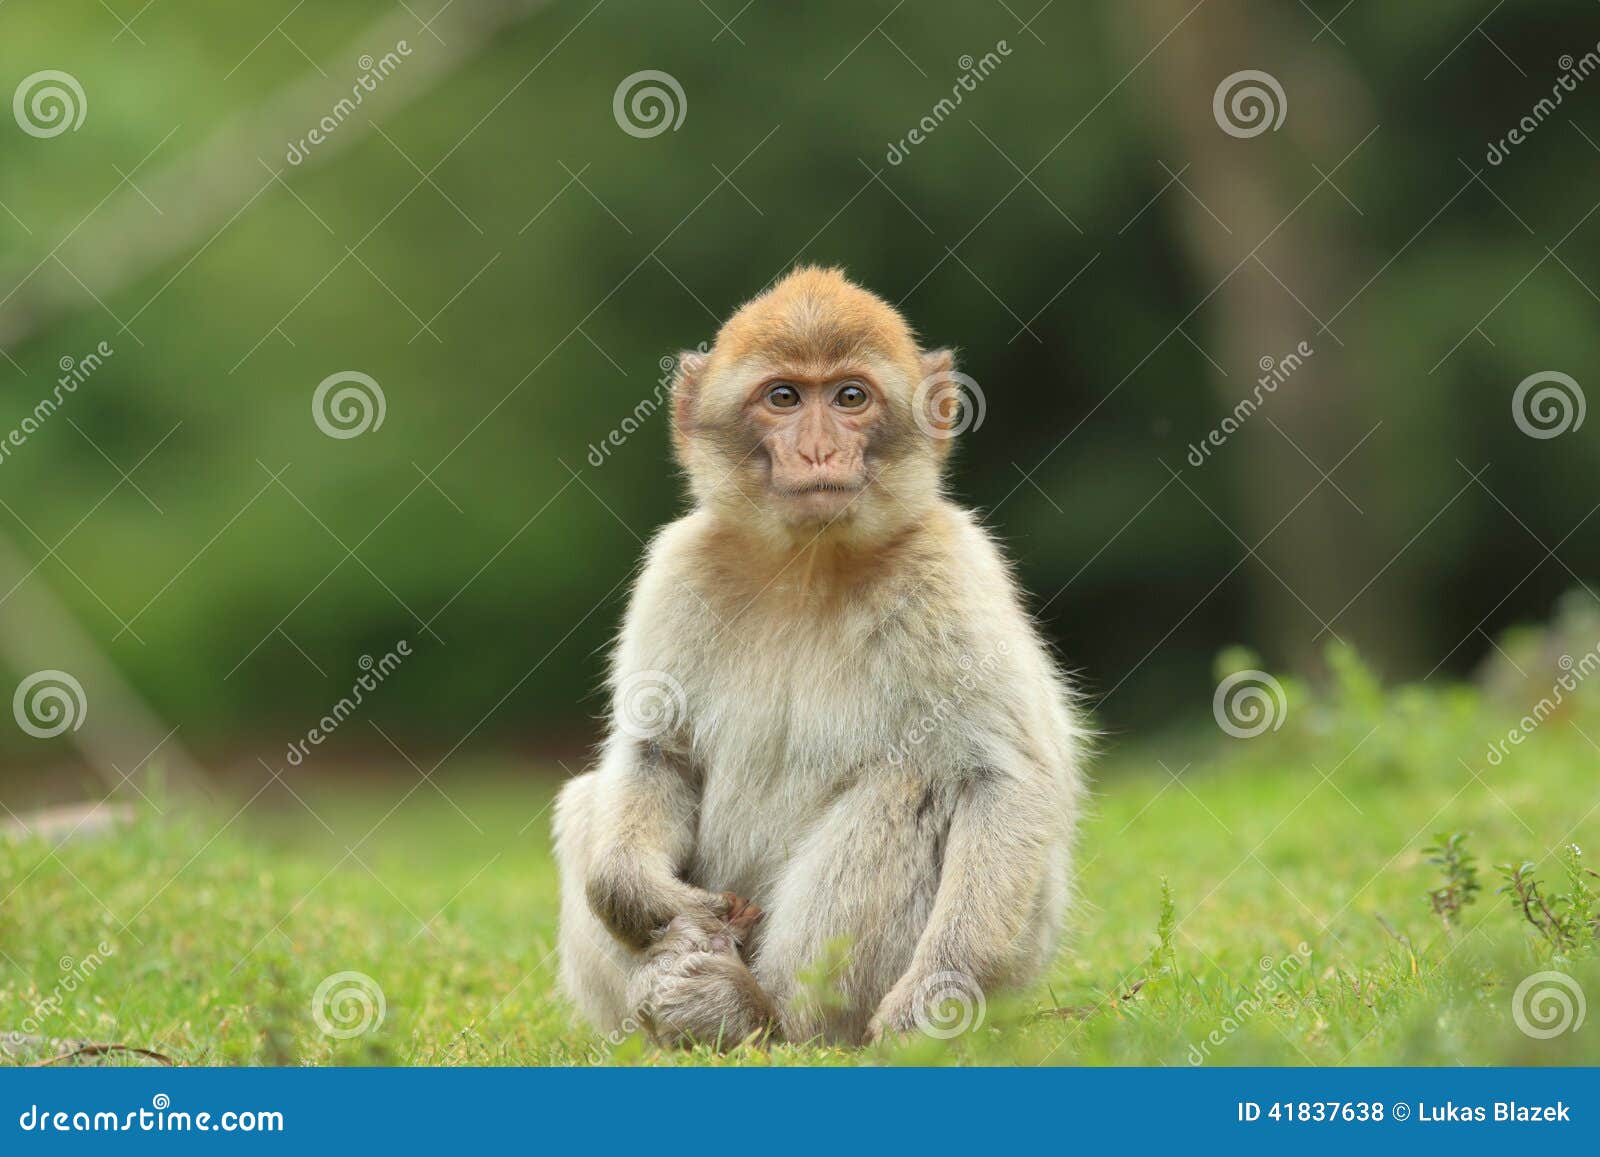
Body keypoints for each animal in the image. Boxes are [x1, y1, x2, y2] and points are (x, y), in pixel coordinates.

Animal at [553, 267, 1088, 1043]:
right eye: (784, 397)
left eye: (849, 397)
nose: (816, 451)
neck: (807, 566)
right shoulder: (676, 569)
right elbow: (658, 753)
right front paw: (657, 905)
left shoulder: (951, 570)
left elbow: (1002, 779)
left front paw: (934, 997)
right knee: (587, 796)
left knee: (915, 784)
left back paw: (752, 1011)